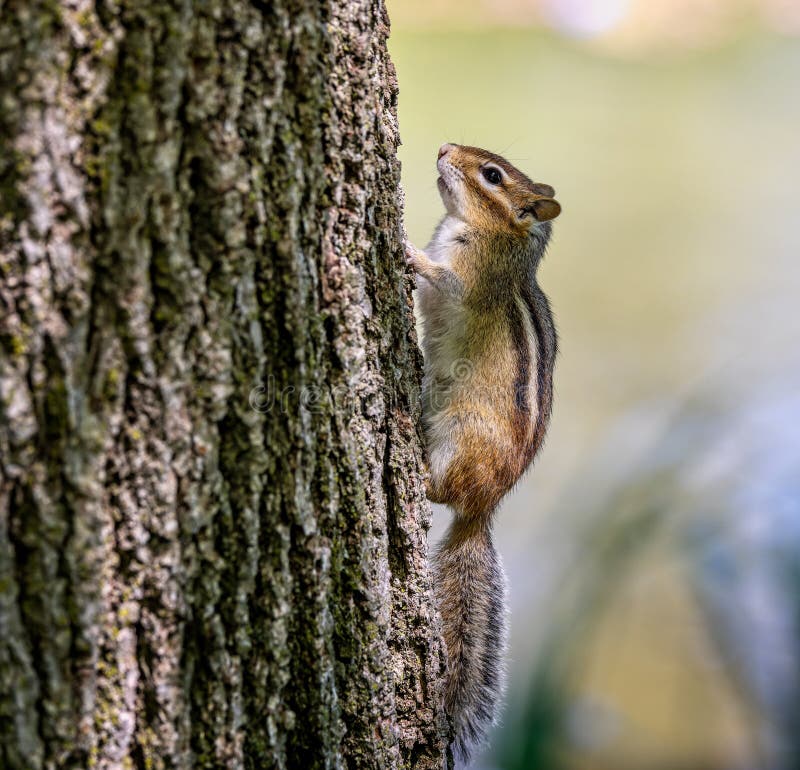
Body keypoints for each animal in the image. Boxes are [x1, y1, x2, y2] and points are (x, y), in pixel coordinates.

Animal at [405, 143, 561, 761]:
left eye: (492, 175)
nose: (444, 148)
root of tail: (483, 510)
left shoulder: (467, 279)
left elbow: (440, 279)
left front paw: (403, 249)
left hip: (461, 436)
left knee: (438, 490)